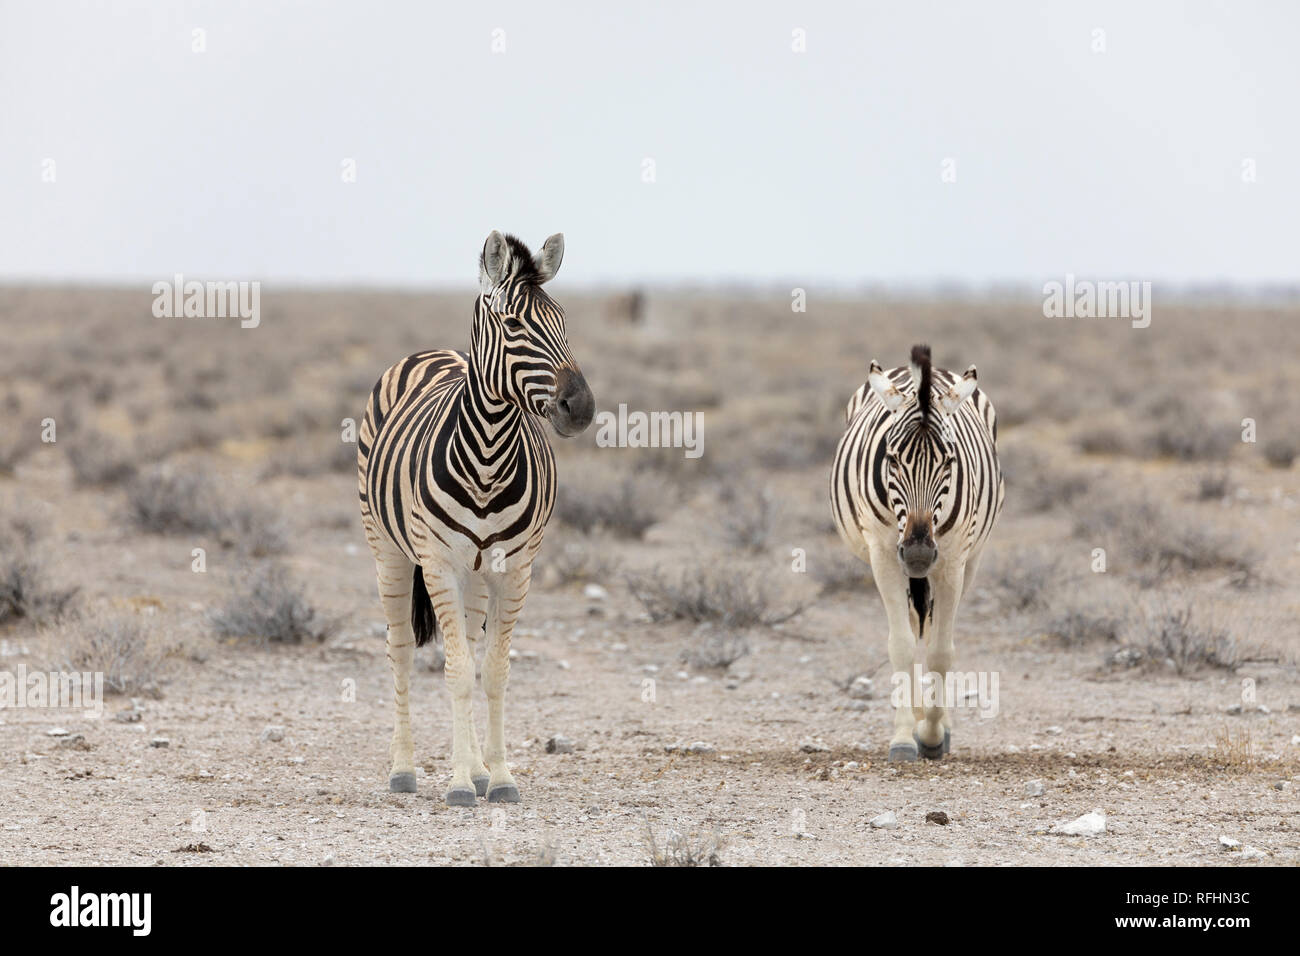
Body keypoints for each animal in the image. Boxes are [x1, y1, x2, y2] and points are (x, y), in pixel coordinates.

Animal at [357, 230, 594, 806]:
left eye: (563, 320)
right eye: (513, 325)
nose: (581, 408)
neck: (487, 455)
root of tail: (430, 353)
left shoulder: (515, 569)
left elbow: (494, 671)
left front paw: (498, 777)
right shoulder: (438, 564)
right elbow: (459, 671)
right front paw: (460, 783)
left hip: (476, 572)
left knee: (465, 637)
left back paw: (477, 768)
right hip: (389, 552)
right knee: (401, 648)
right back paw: (404, 770)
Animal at [830, 344, 1003, 762]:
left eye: (950, 461)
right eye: (892, 459)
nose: (920, 554)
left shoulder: (953, 560)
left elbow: (941, 651)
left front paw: (933, 735)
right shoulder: (883, 555)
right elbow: (902, 645)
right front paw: (905, 737)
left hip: (969, 561)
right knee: (910, 624)